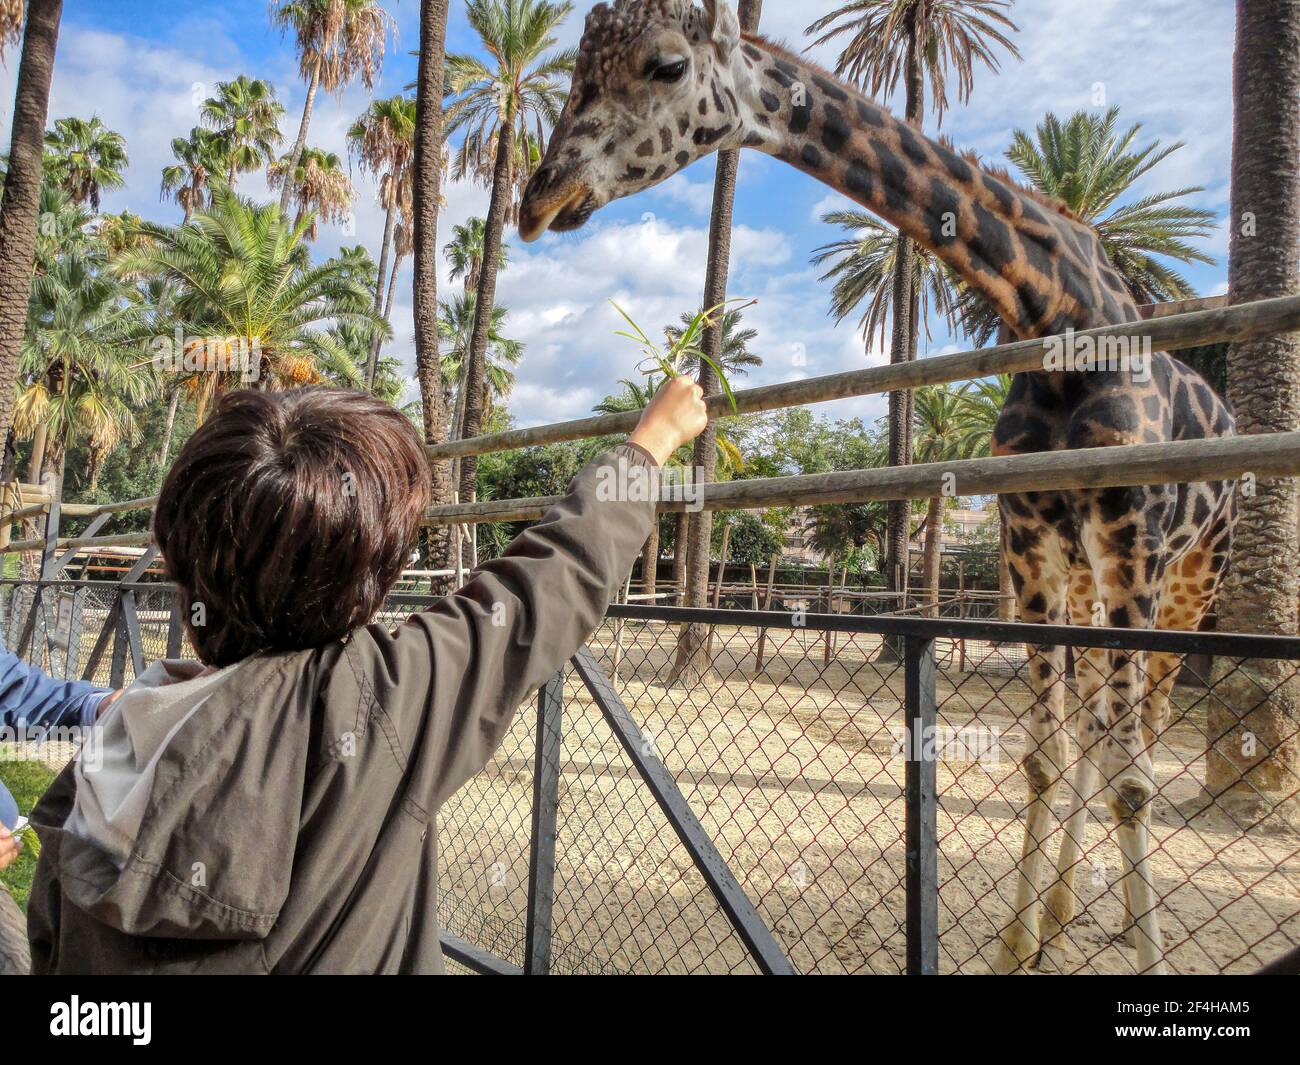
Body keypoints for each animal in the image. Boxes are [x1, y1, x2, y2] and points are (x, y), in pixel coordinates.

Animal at [518, 0, 1236, 975]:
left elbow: (1130, 774)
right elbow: (1045, 753)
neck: (1061, 313)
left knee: (1144, 728)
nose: (537, 196)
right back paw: (1061, 914)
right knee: (1094, 724)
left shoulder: (1133, 532)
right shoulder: (1030, 538)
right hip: (1093, 576)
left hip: (1190, 574)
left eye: (666, 65)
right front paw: (1017, 945)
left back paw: (1122, 919)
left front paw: (1138, 954)